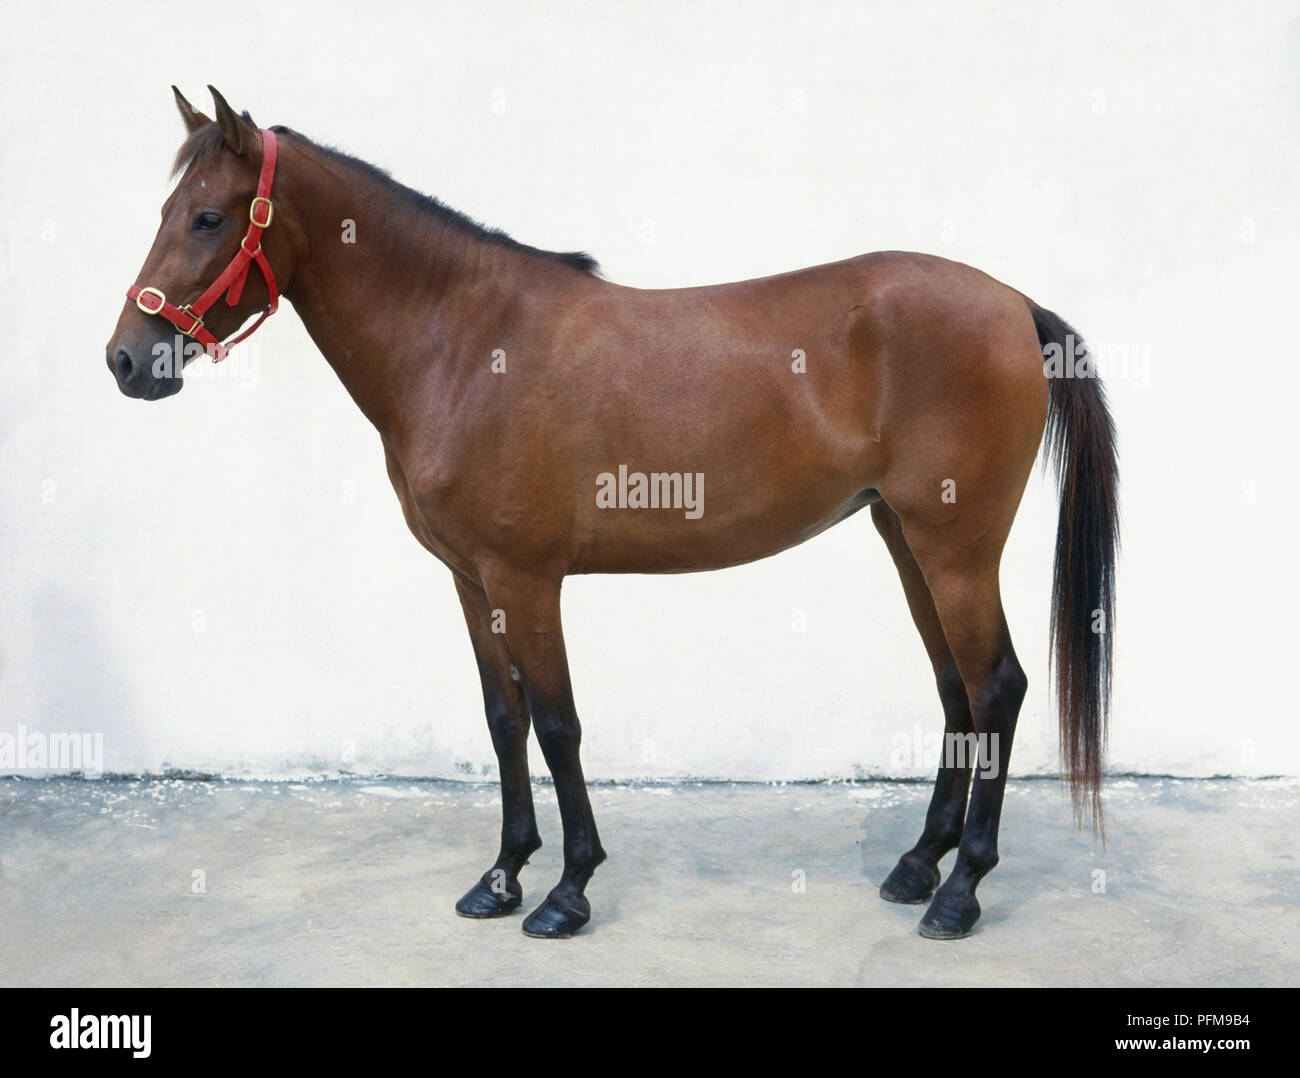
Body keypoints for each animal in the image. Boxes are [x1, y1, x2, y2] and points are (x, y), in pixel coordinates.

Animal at [106, 87, 1118, 941]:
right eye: (165, 211)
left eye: (208, 217)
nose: (125, 359)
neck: (464, 343)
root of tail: (1014, 305)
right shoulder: (471, 581)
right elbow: (503, 720)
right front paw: (501, 877)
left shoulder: (527, 578)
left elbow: (559, 724)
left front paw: (566, 890)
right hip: (906, 539)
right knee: (955, 690)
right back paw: (917, 866)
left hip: (956, 549)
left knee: (997, 687)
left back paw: (960, 892)